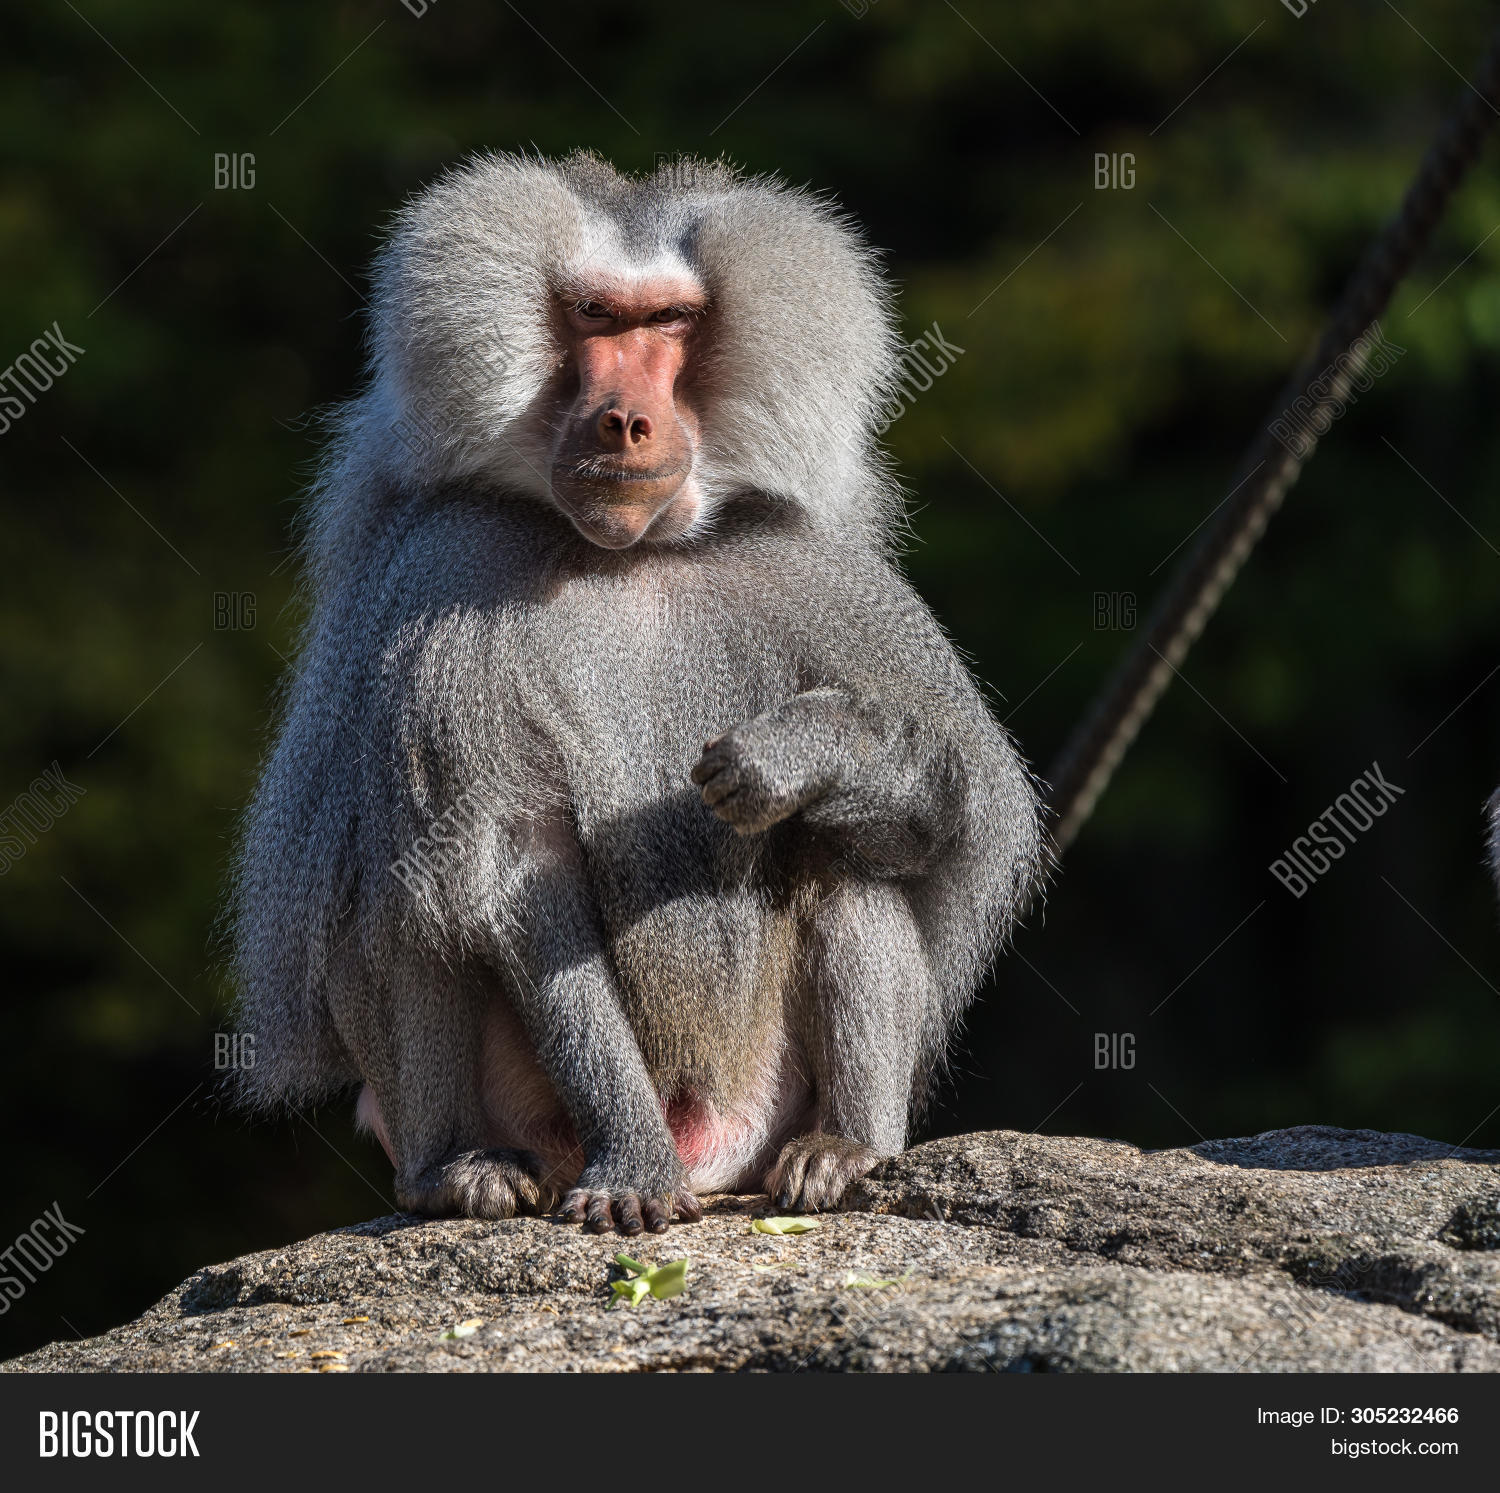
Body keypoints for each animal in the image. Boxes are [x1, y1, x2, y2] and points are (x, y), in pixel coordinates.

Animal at [230, 151, 1044, 1236]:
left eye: (669, 320)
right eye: (594, 315)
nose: (624, 420)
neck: (633, 554)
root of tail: (716, 1149)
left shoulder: (824, 577)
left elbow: (945, 817)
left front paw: (808, 751)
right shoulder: (446, 573)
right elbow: (514, 867)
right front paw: (632, 1170)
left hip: (765, 1106)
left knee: (843, 846)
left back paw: (846, 1150)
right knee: (406, 885)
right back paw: (459, 1171)